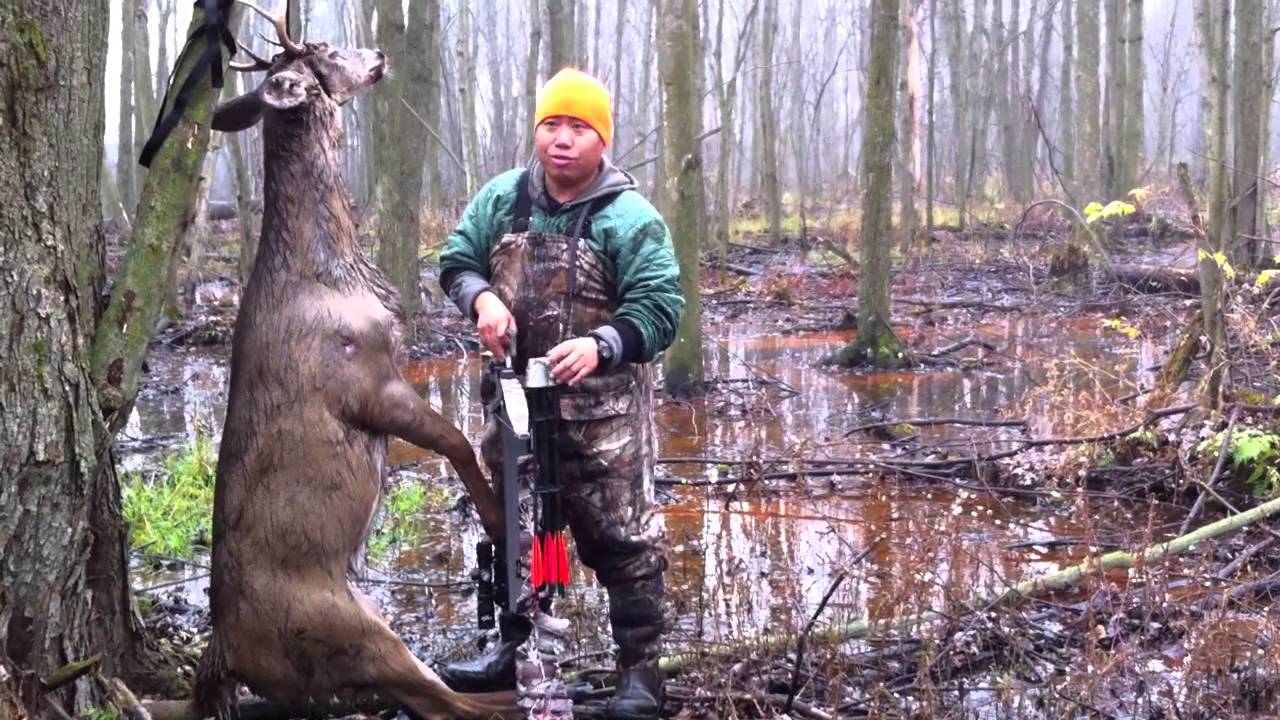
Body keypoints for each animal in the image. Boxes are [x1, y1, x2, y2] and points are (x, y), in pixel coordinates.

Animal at [192, 3, 512, 718]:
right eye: (325, 50)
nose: (378, 55)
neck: (335, 268)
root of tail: (221, 652)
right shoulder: (364, 378)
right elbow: (455, 440)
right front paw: (500, 520)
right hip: (347, 629)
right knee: (446, 704)